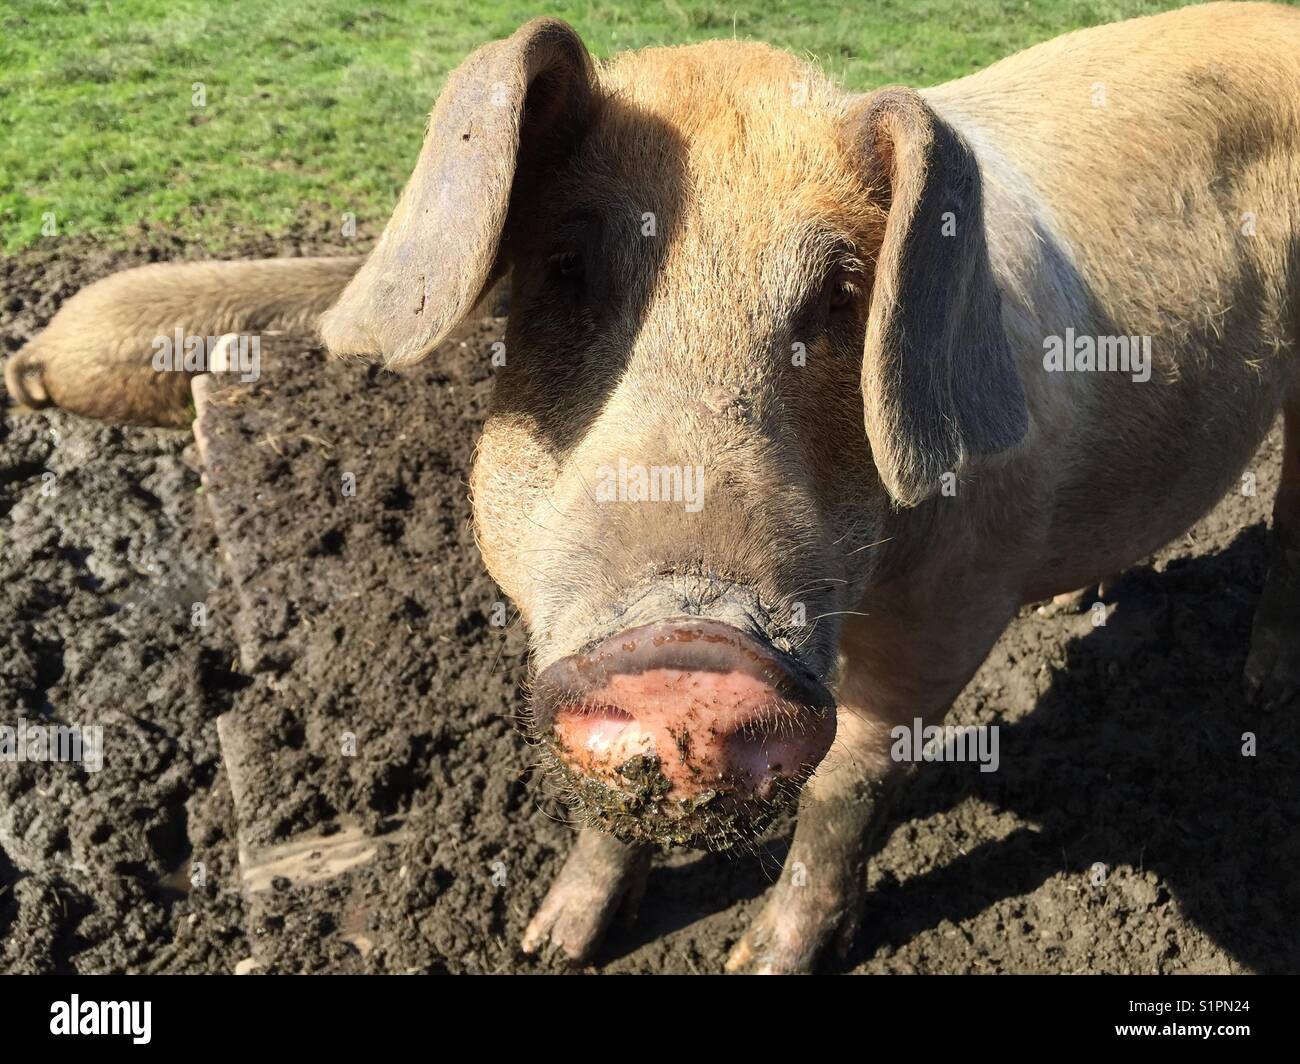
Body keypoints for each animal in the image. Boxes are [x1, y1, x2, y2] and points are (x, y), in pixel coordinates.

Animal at [5, 2, 1299, 973]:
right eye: (564, 269)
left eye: (841, 292)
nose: (686, 641)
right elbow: (597, 806)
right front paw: (547, 944)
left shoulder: (947, 622)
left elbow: (843, 790)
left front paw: (760, 963)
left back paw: (1261, 682)